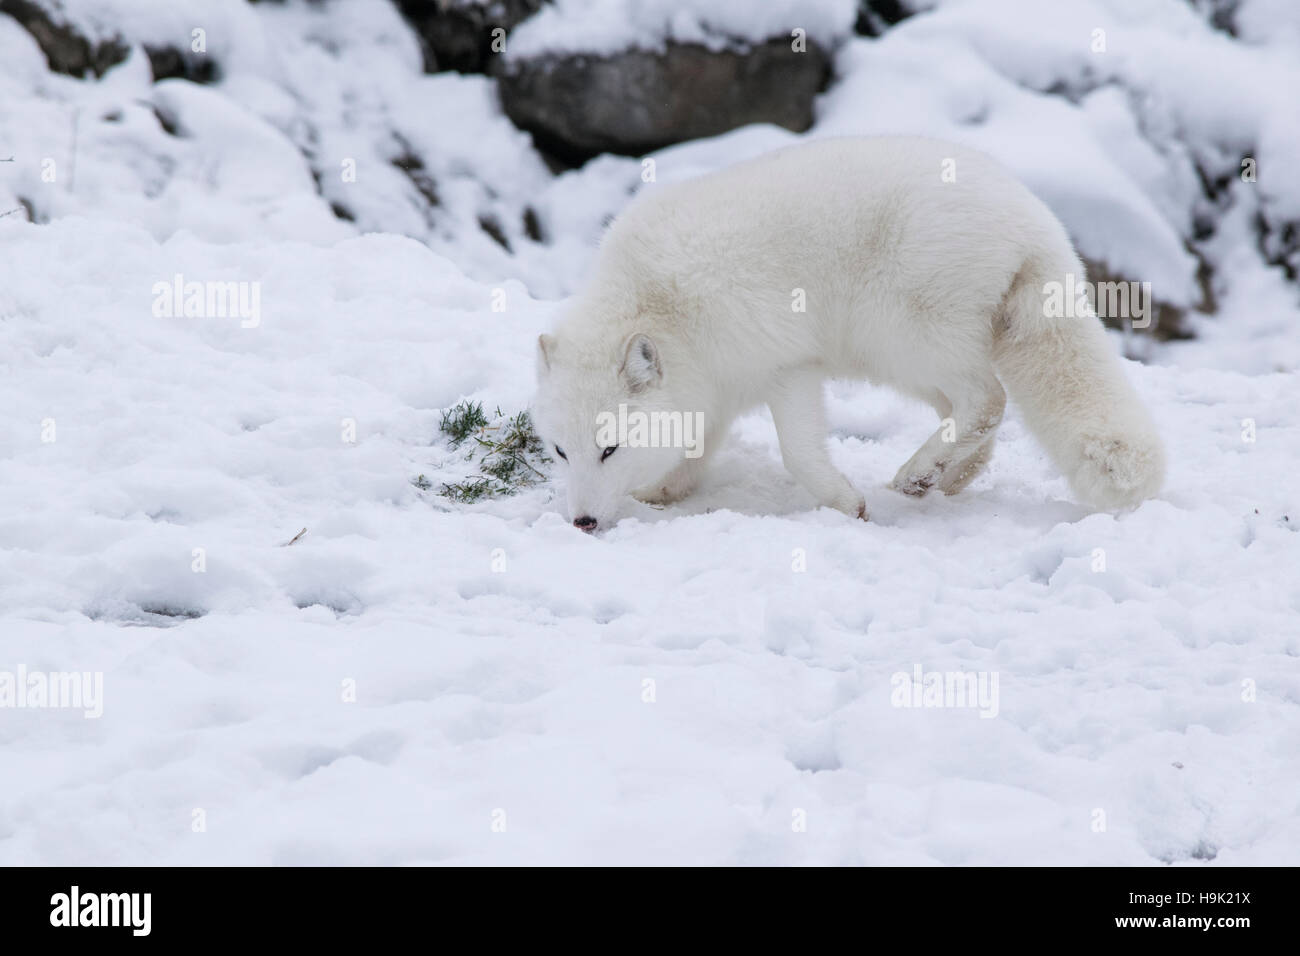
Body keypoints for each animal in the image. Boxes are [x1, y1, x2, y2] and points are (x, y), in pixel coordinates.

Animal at [533, 136, 1165, 533]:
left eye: (610, 449)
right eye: (561, 451)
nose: (582, 523)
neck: (662, 304)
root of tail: (1036, 220)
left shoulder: (786, 366)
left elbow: (797, 453)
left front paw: (843, 504)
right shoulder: (711, 387)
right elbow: (694, 449)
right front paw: (664, 494)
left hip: (903, 335)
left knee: (989, 400)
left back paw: (917, 474)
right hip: (901, 358)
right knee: (977, 419)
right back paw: (941, 480)